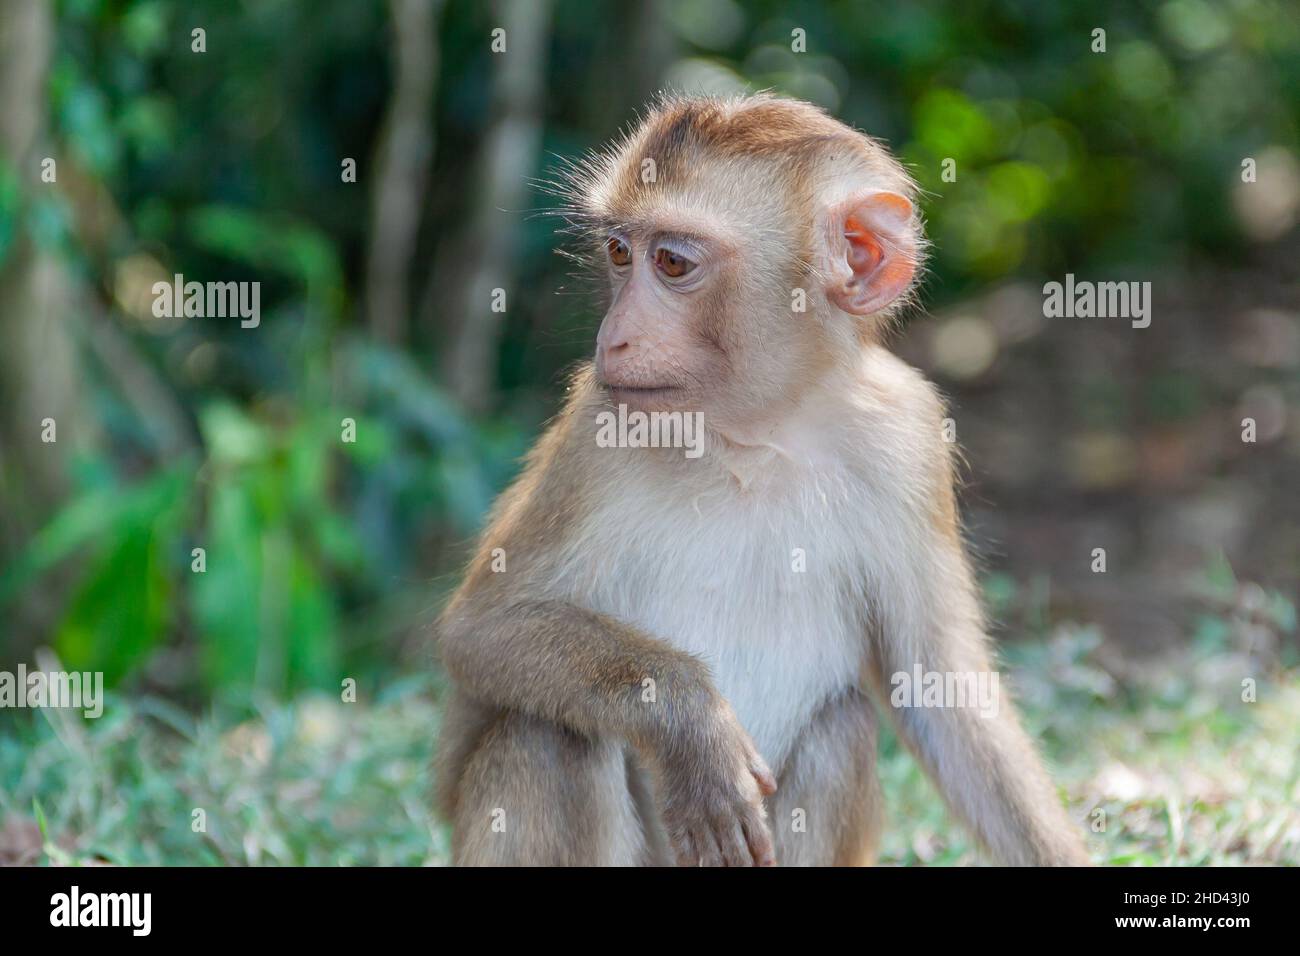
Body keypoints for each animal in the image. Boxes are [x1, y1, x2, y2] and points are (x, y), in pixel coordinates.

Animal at [434, 92, 1091, 867]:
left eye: (672, 262)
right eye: (620, 253)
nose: (612, 336)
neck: (758, 434)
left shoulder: (910, 439)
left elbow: (941, 693)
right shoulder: (596, 433)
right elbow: (483, 631)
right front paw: (689, 724)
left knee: (842, 725)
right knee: (546, 736)